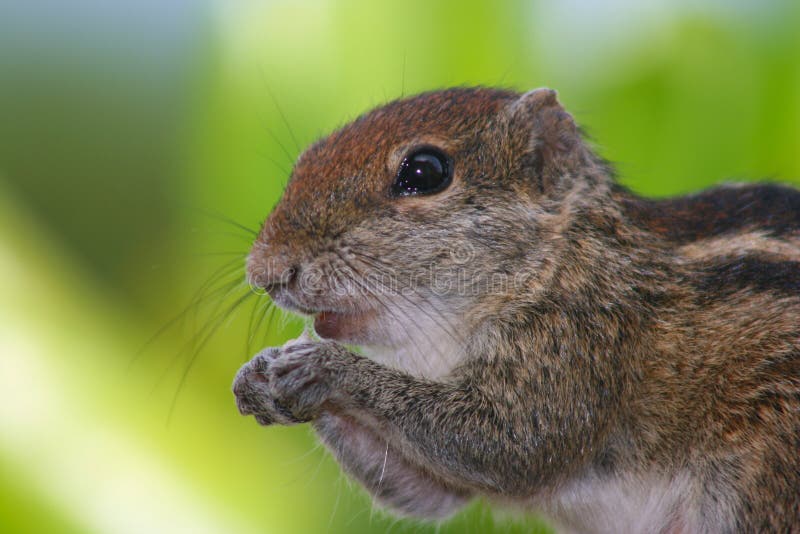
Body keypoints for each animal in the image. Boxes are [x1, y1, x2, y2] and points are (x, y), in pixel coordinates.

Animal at [232, 87, 800, 532]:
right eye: (307, 156)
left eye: (424, 171)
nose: (265, 270)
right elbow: (429, 491)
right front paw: (259, 372)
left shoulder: (583, 342)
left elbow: (512, 445)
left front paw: (324, 366)